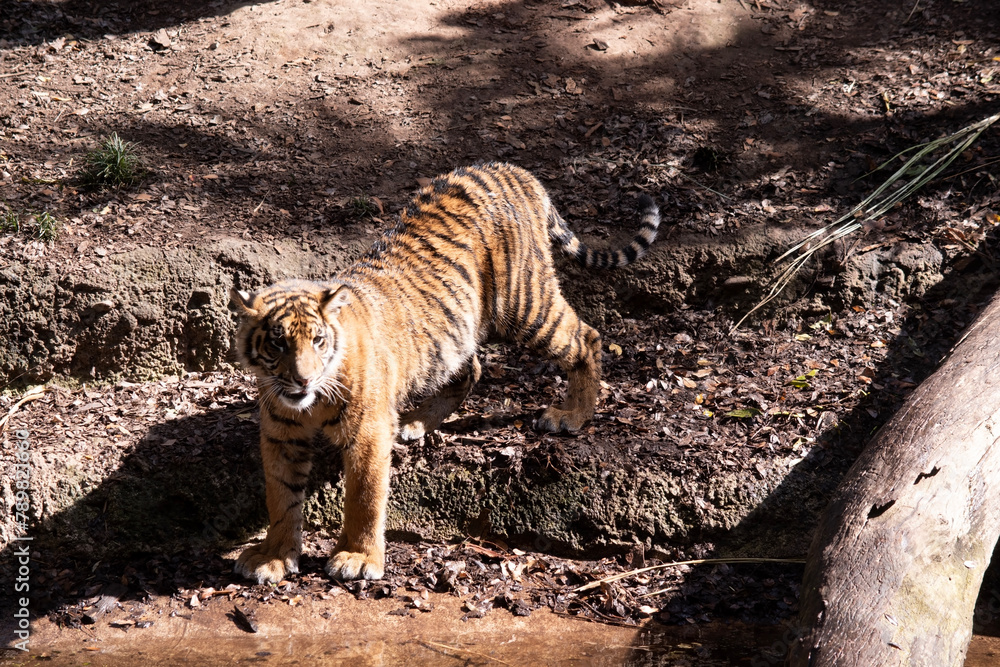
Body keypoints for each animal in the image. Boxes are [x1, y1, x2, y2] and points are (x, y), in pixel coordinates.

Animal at [229, 162, 660, 583]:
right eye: (278, 343)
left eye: (318, 341)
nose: (302, 380)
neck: (312, 401)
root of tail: (517, 171)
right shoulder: (281, 434)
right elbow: (281, 497)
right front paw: (273, 556)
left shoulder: (368, 432)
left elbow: (364, 497)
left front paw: (358, 558)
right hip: (454, 333)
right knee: (472, 368)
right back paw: (415, 423)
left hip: (524, 304)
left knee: (586, 337)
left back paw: (572, 415)